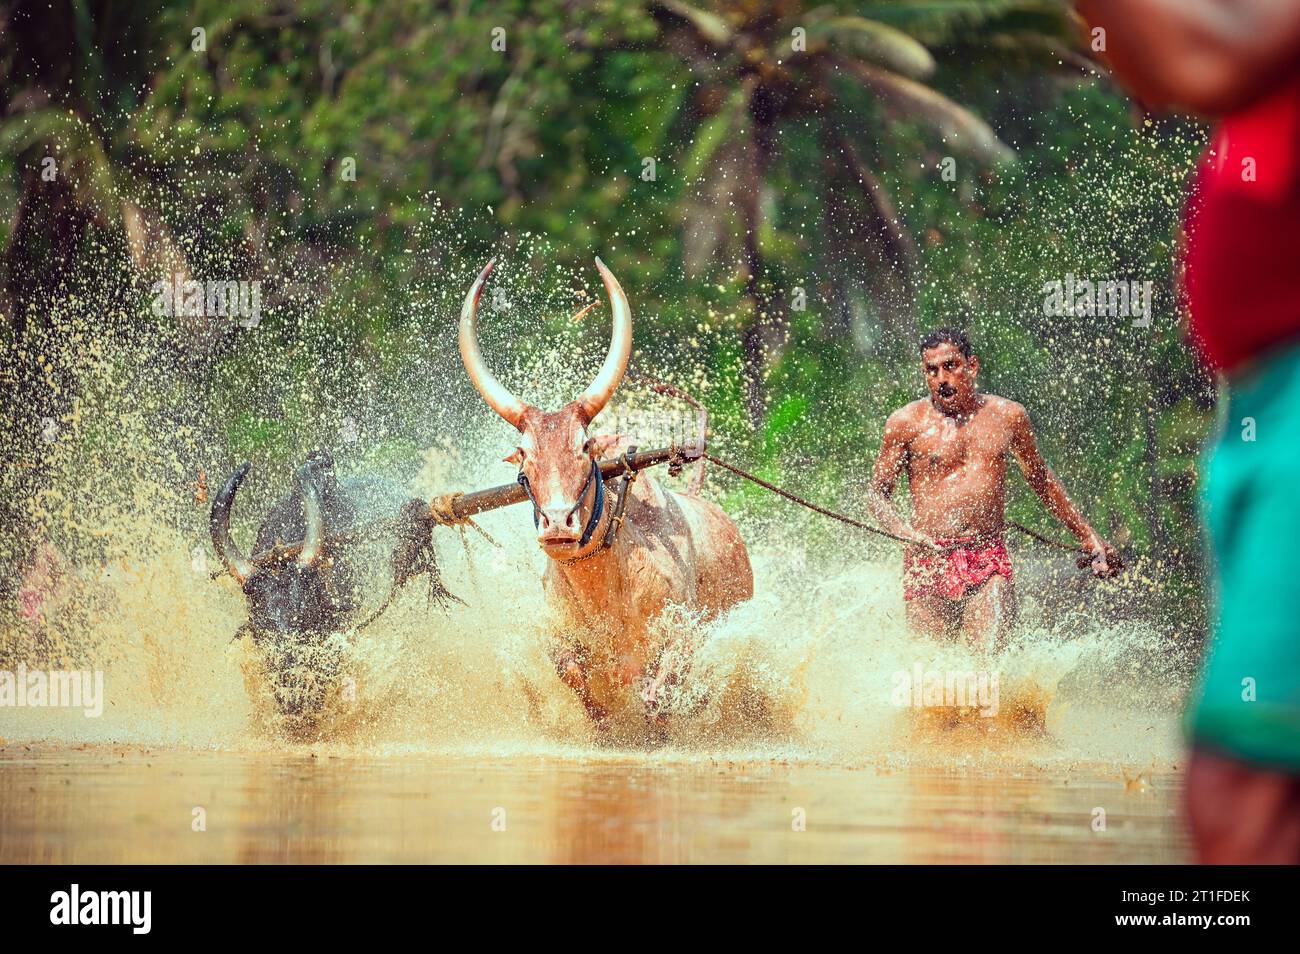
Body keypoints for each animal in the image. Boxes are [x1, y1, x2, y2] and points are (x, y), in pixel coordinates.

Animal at [458, 257, 754, 732]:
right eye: (524, 456)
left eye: (584, 447)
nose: (558, 524)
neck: (604, 580)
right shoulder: (557, 635)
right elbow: (574, 675)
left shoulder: (683, 632)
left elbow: (658, 693)